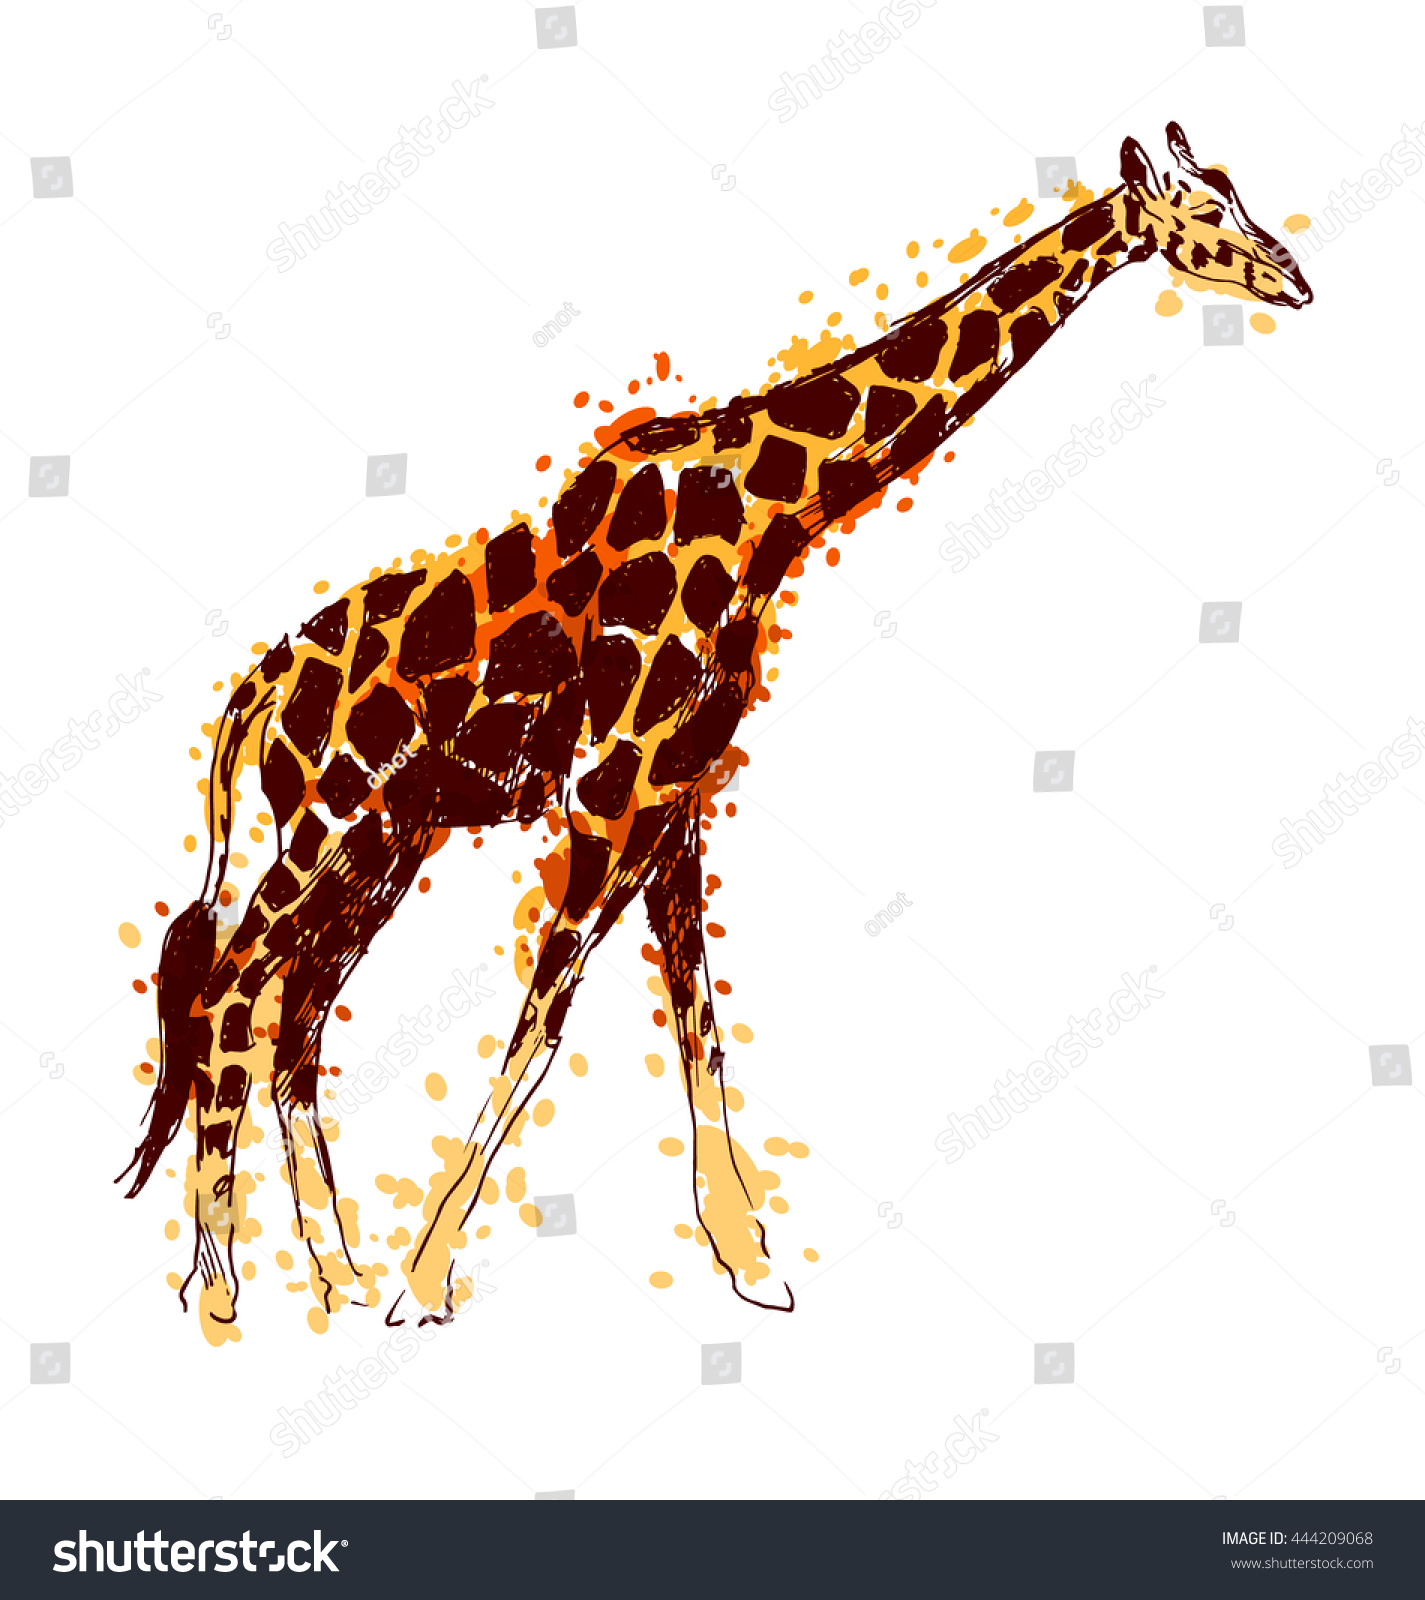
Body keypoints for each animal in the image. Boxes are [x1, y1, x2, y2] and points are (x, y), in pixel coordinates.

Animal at [121, 124, 1311, 1342]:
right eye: (1202, 214)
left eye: (1238, 194)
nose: (1294, 279)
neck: (768, 510)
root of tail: (251, 692)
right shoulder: (612, 793)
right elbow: (544, 1026)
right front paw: (427, 1281)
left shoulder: (675, 794)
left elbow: (696, 1019)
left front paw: (749, 1261)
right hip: (326, 818)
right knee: (228, 988)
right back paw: (222, 1290)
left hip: (387, 841)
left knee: (292, 1019)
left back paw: (333, 1276)